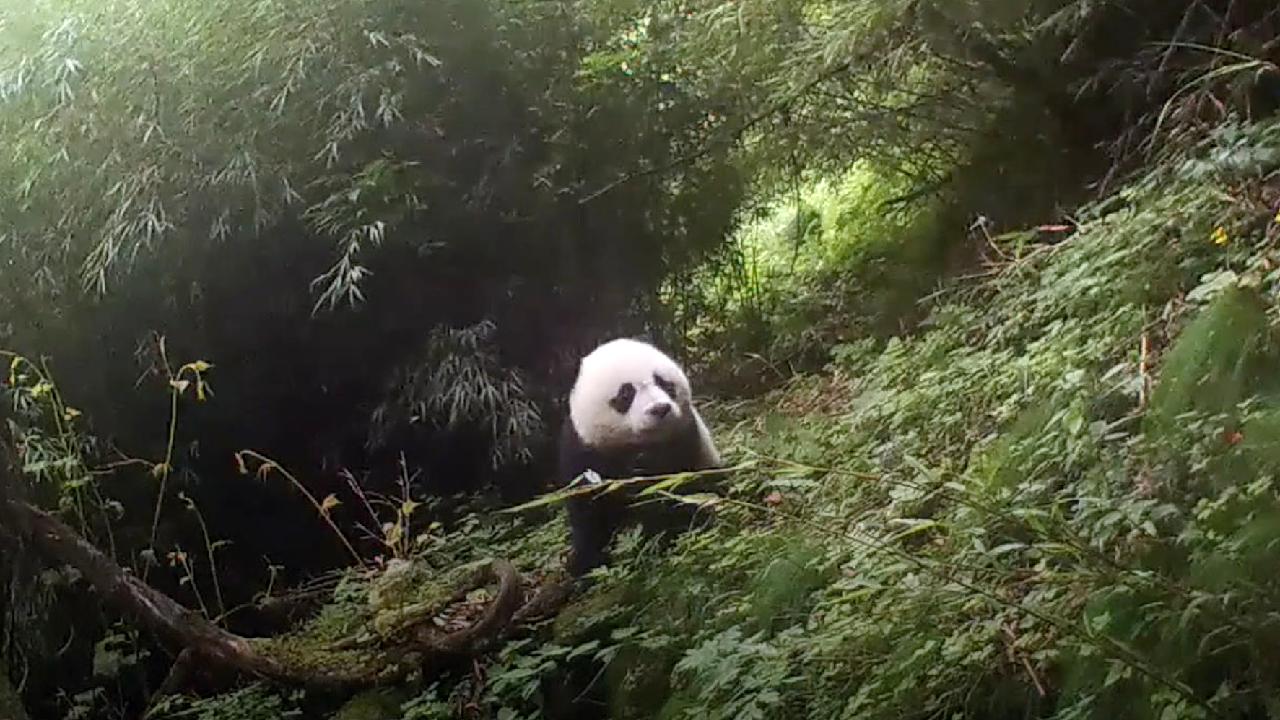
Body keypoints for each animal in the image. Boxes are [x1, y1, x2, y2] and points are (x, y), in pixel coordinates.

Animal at [560, 338, 722, 577]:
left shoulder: (683, 445)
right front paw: (585, 564)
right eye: (626, 394)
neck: (637, 446)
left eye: (665, 384)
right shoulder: (585, 453)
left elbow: (671, 496)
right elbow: (588, 512)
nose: (660, 409)